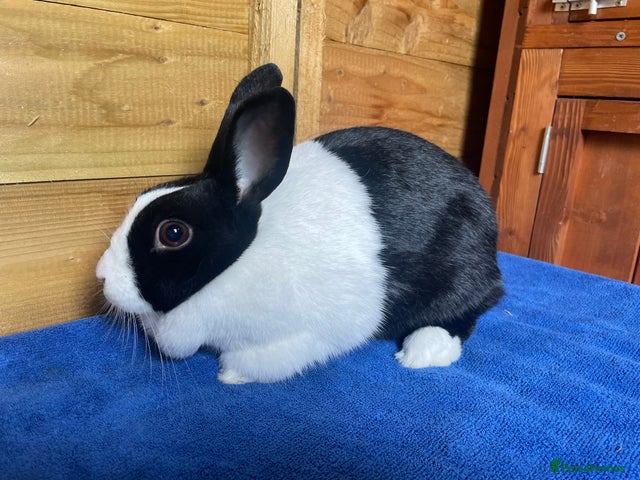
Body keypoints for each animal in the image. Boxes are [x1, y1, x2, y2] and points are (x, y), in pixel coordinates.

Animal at [96, 63, 504, 384]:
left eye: (173, 233)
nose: (101, 275)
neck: (238, 262)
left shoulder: (312, 330)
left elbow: (266, 359)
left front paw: (232, 374)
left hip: (458, 274)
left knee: (470, 309)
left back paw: (423, 351)